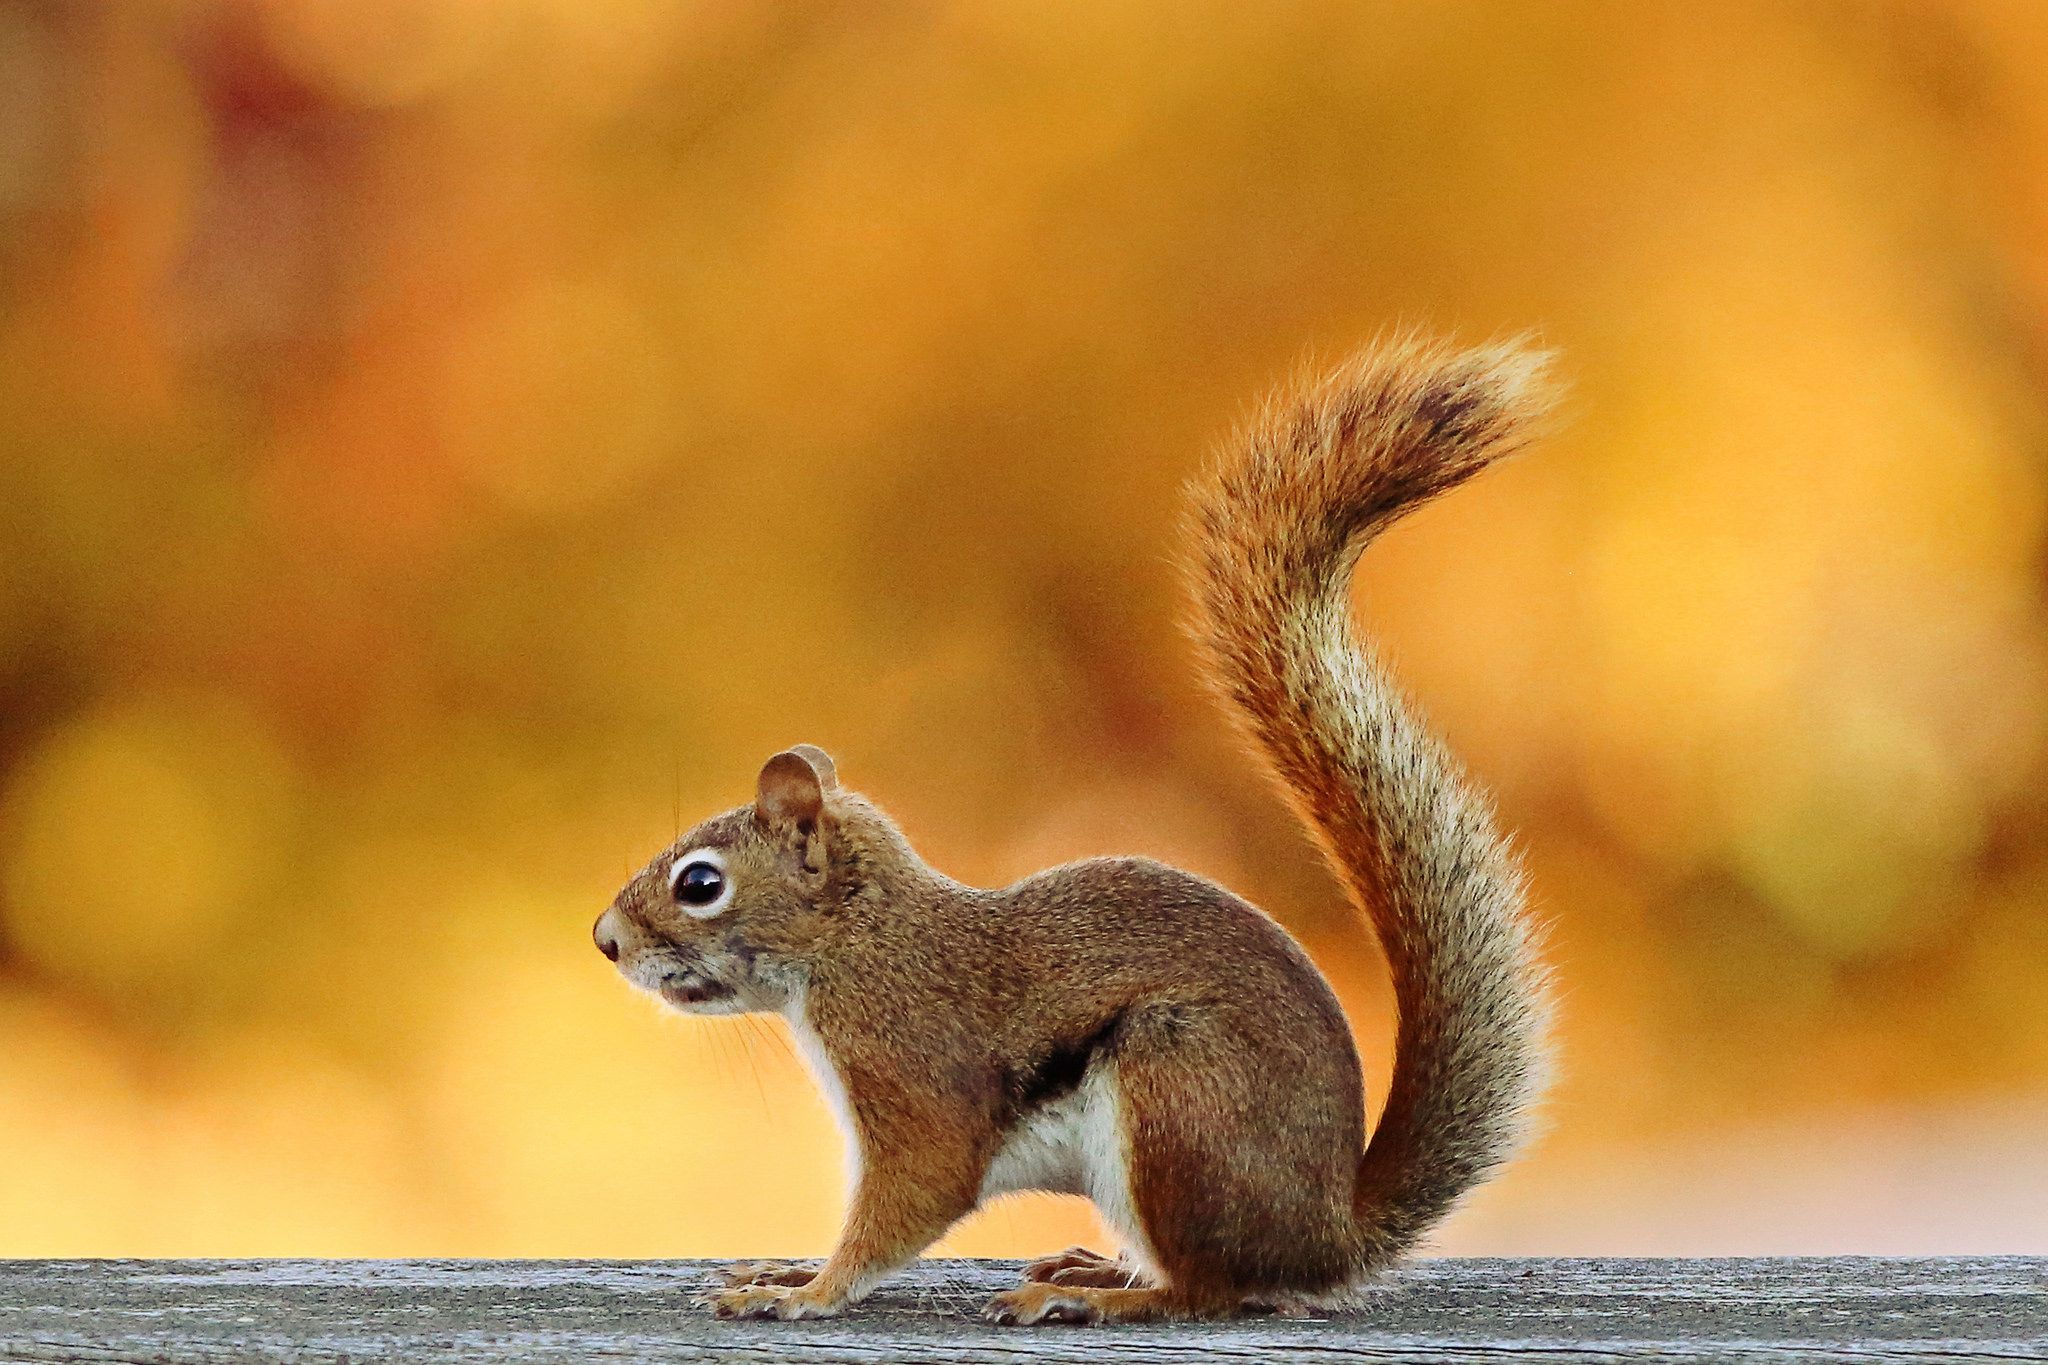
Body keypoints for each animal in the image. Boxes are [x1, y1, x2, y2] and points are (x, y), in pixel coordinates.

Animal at [592, 335, 1558, 1325]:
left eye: (700, 883)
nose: (607, 939)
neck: (858, 936)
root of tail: (1327, 1237)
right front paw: (785, 1274)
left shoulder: (914, 1078)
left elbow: (907, 1201)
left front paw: (805, 1294)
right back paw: (1094, 1269)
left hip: (1175, 1096)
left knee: (1213, 1289)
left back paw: (1099, 1301)